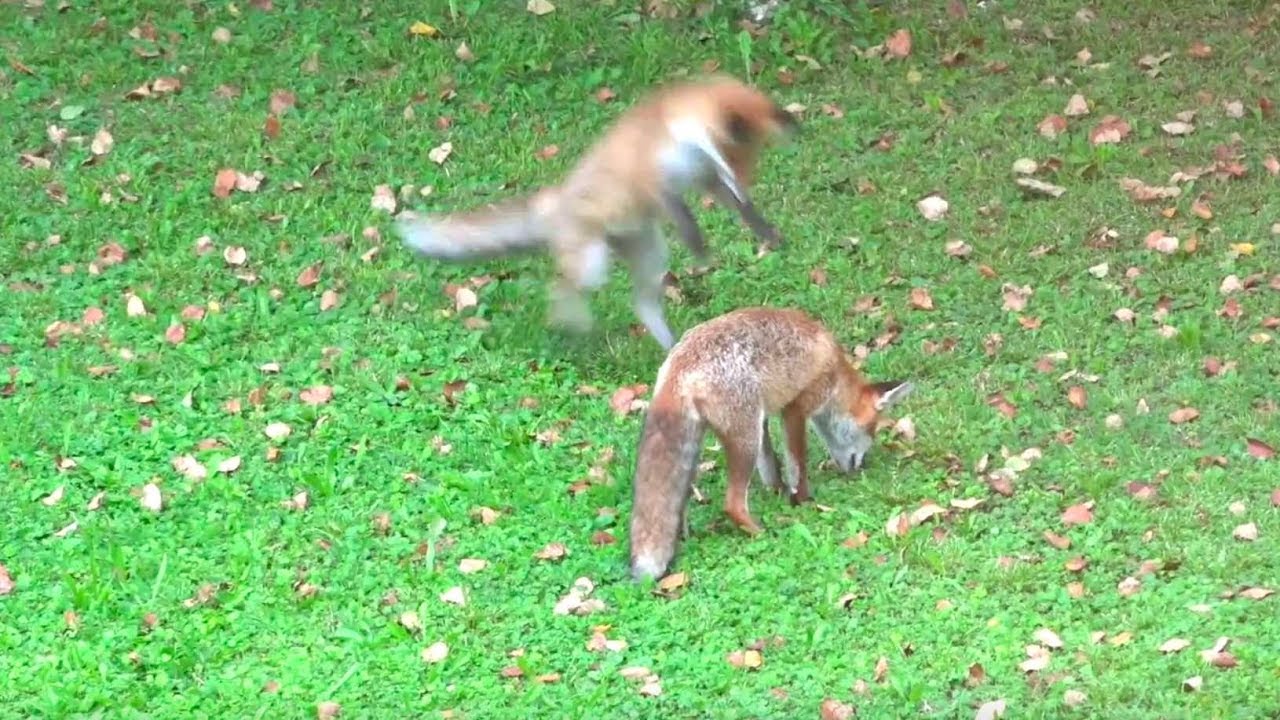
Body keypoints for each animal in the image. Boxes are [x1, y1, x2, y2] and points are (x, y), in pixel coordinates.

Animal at [394, 74, 799, 351]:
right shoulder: (654, 178)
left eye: (749, 164)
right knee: (561, 287)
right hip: (593, 264)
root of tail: (554, 203)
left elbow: (734, 208)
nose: (742, 183)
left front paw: (763, 230)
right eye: (731, 158)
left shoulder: (703, 178)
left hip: (649, 255)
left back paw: (670, 349)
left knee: (642, 305)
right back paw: (569, 325)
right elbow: (683, 213)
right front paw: (700, 244)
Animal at [627, 307, 916, 582]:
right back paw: (760, 533)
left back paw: (684, 536)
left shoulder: (764, 417)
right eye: (872, 430)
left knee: (678, 501)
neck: (833, 370)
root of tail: (678, 363)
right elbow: (797, 464)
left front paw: (778, 490)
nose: (861, 467)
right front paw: (802, 499)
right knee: (732, 504)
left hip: (713, 439)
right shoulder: (796, 409)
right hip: (745, 439)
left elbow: (769, 465)